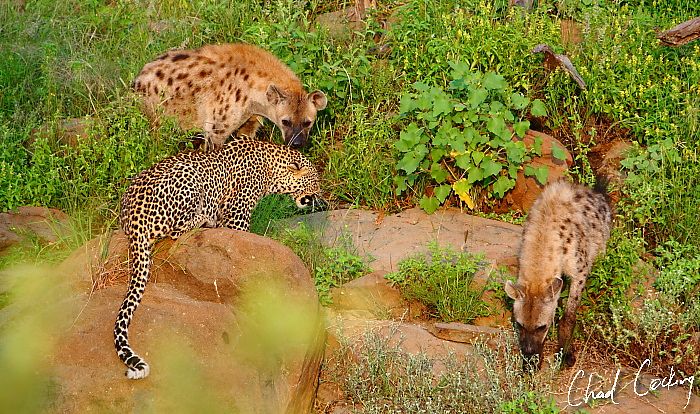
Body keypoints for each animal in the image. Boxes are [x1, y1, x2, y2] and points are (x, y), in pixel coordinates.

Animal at [115, 138, 325, 379]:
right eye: (315, 181)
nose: (320, 194)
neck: (271, 170)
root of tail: (133, 221)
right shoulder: (237, 217)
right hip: (190, 183)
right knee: (177, 230)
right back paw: (205, 219)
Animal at [132, 43, 327, 150]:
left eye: (307, 122)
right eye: (285, 121)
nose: (297, 144)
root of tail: (137, 79)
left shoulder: (251, 119)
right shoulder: (216, 126)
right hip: (158, 115)